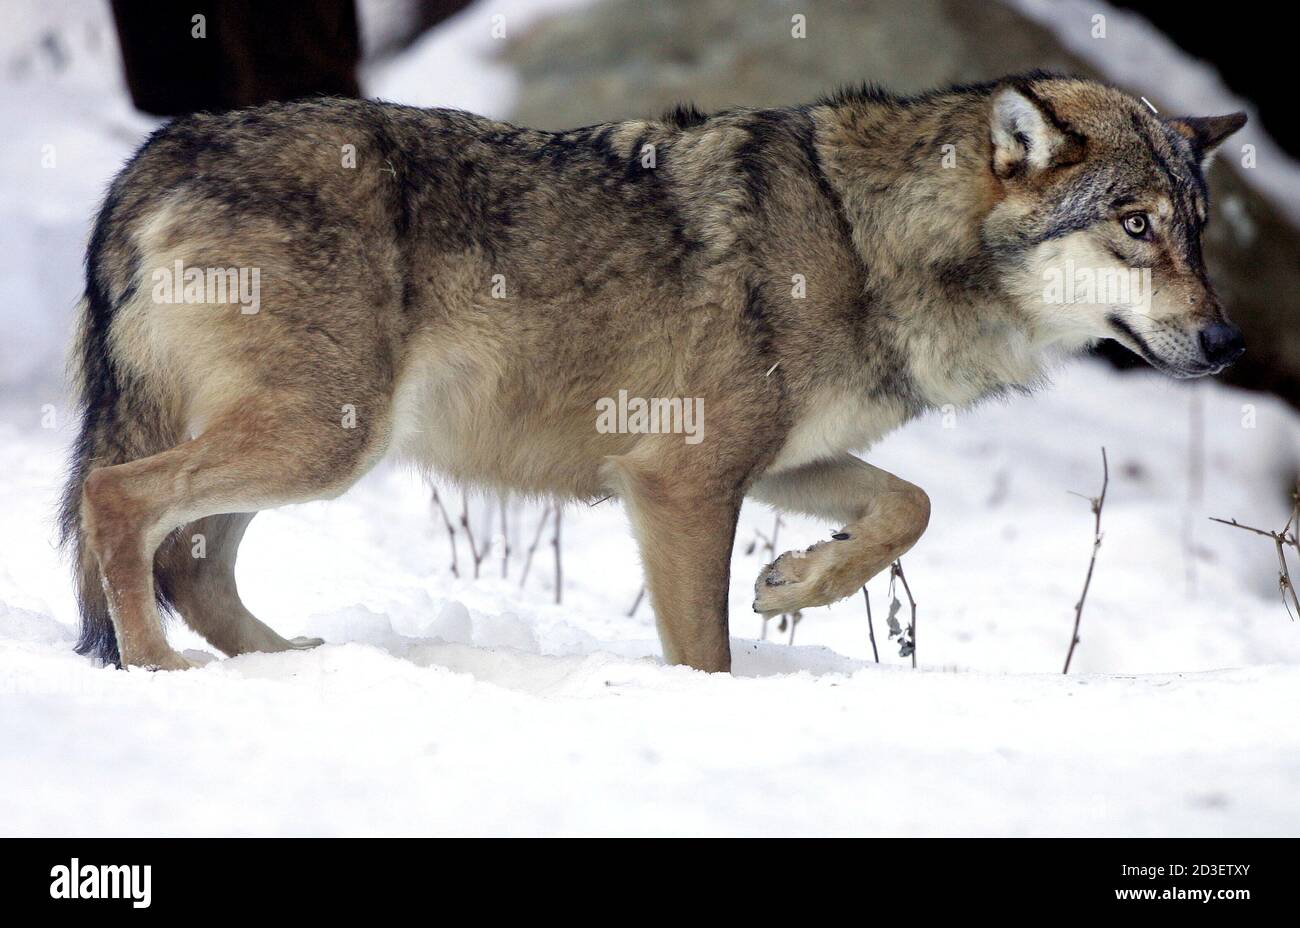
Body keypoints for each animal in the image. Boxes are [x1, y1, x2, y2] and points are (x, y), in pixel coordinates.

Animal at [60, 73, 1246, 672]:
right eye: (1135, 226)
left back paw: (285, 666)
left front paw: (795, 582)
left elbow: (907, 505)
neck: (861, 237)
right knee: (118, 502)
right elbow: (706, 648)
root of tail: (149, 157)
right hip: (322, 445)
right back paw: (161, 668)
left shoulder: (779, 461)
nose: (1227, 344)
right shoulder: (682, 481)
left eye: (1195, 228)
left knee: (192, 564)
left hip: (310, 450)